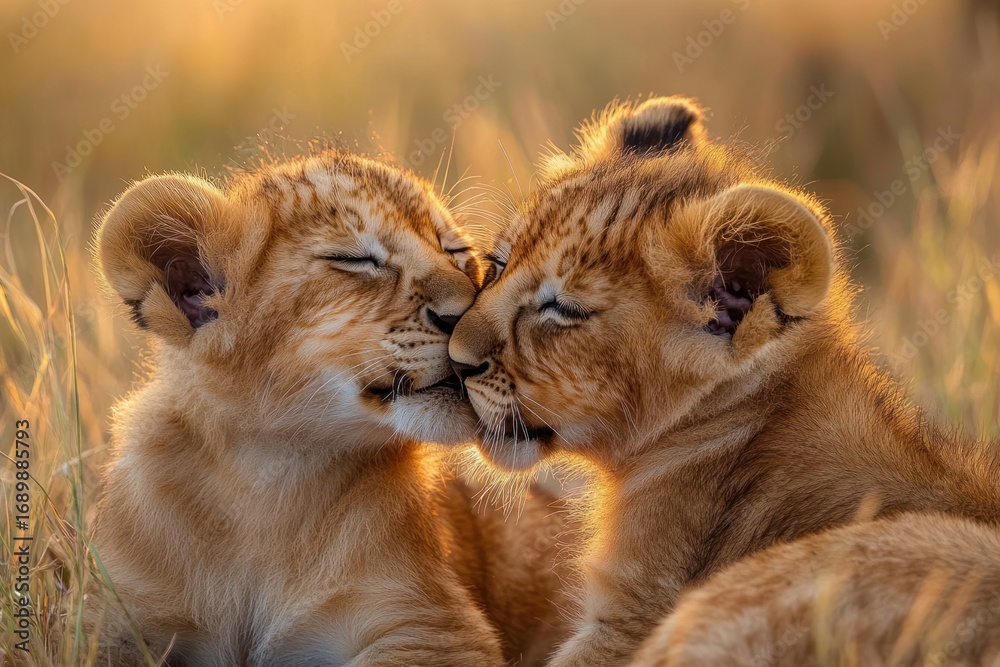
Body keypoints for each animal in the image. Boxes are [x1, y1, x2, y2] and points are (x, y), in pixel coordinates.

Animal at [89, 150, 569, 666]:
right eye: (355, 260)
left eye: (457, 253)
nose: (467, 320)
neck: (270, 480)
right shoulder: (119, 619)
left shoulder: (437, 627)